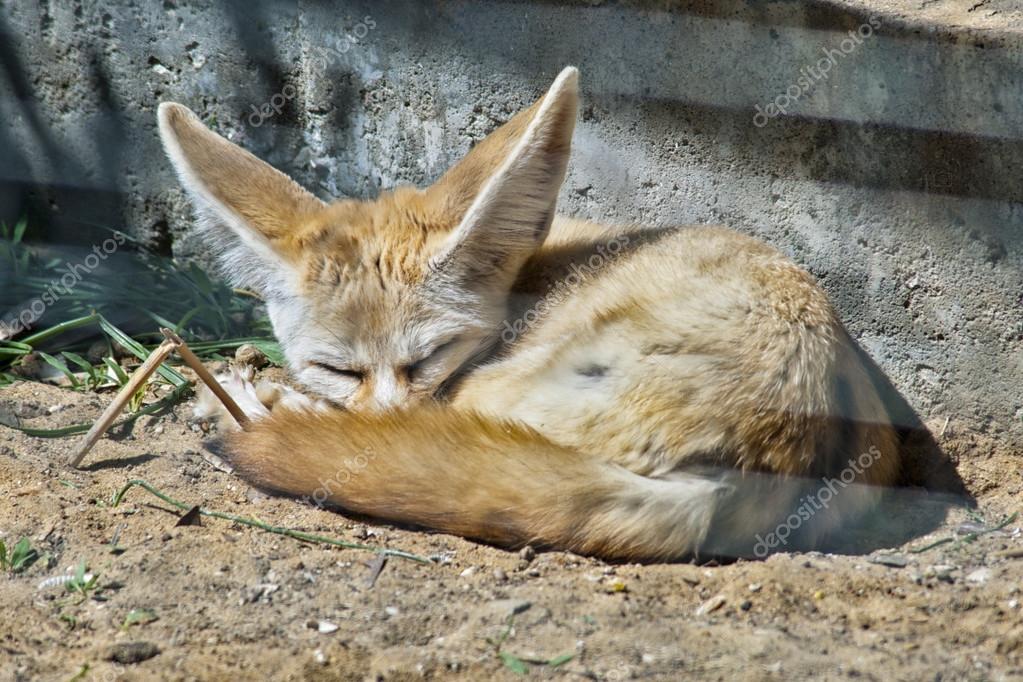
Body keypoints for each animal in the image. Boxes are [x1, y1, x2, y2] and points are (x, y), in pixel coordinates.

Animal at [157, 67, 902, 561]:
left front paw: (261, 397)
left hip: (494, 396)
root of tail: (778, 452)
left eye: (427, 357)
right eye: (338, 367)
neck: (525, 270)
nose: (379, 422)